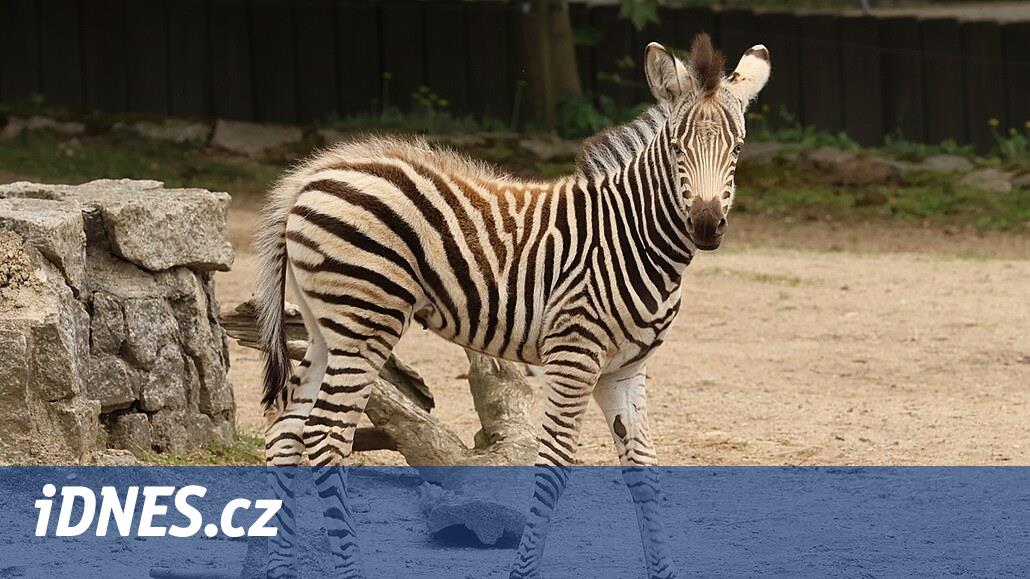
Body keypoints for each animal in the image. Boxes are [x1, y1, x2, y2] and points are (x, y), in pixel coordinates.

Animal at [256, 33, 769, 578]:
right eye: (676, 149)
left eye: (737, 149)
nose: (707, 226)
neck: (630, 236)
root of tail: (311, 174)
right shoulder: (574, 355)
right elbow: (554, 466)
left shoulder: (624, 369)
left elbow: (644, 469)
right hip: (365, 324)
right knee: (326, 437)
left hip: (326, 328)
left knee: (286, 432)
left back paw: (276, 565)